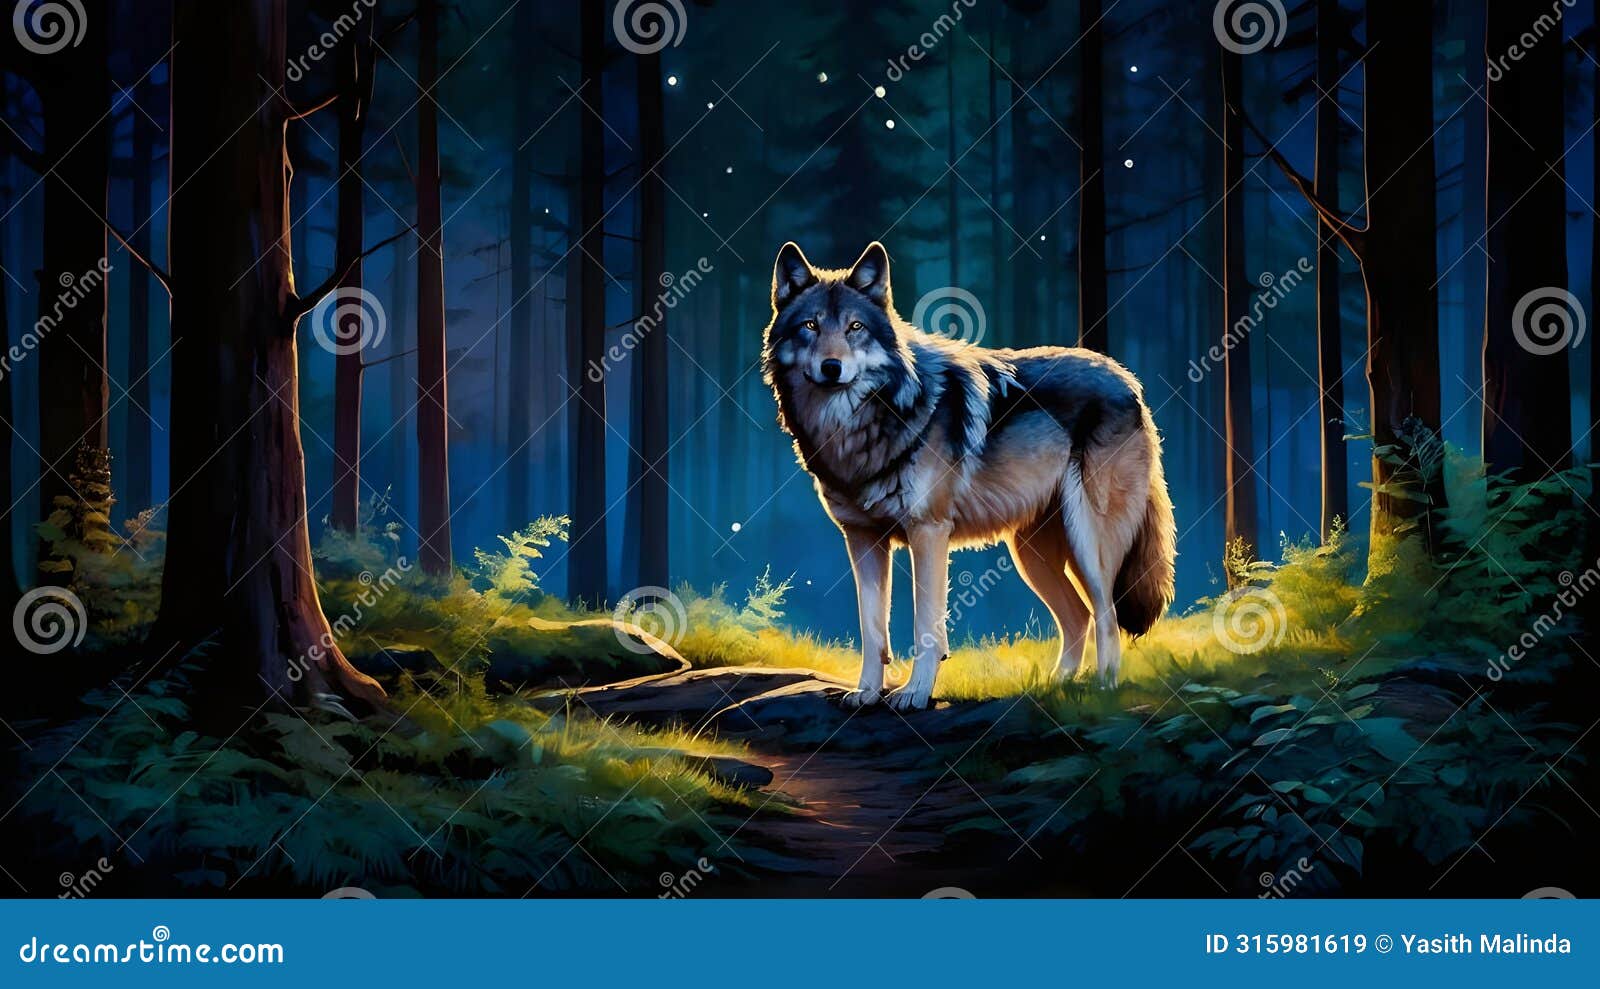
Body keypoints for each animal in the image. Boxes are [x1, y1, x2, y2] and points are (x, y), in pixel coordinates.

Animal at [762, 241, 1176, 711]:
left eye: (854, 328)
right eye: (810, 326)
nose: (832, 367)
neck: (859, 427)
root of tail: (1129, 380)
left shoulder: (928, 532)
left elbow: (925, 625)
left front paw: (915, 693)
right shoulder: (863, 538)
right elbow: (872, 629)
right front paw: (866, 693)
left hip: (1089, 541)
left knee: (1106, 616)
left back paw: (1103, 690)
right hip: (1030, 553)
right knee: (1079, 616)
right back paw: (1056, 689)